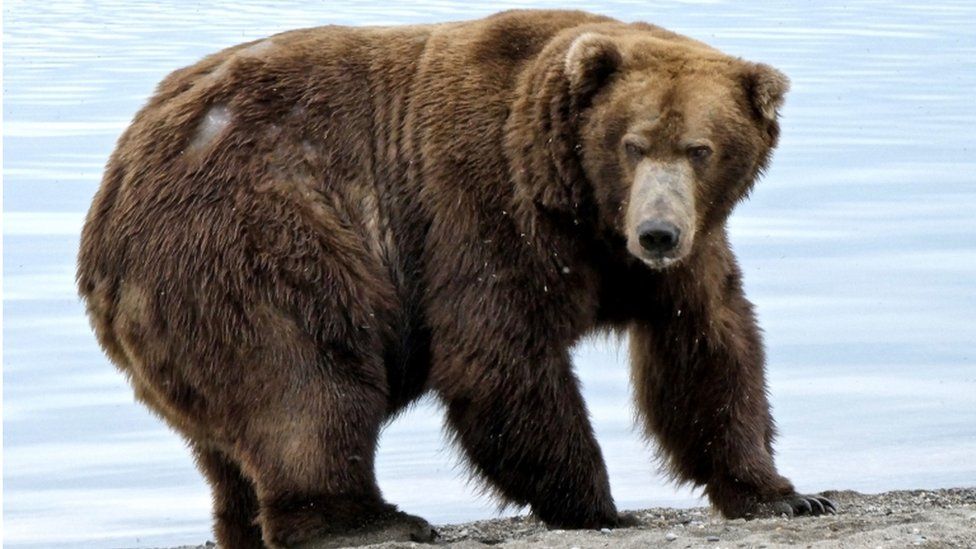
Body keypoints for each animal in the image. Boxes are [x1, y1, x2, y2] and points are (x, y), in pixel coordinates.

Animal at [77, 9, 834, 549]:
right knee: (307, 377)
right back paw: (370, 521)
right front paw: (599, 505)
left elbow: (707, 349)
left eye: (701, 148)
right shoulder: (483, 200)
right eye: (633, 143)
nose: (657, 232)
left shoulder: (682, 253)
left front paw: (783, 492)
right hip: (253, 233)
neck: (582, 207)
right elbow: (498, 353)